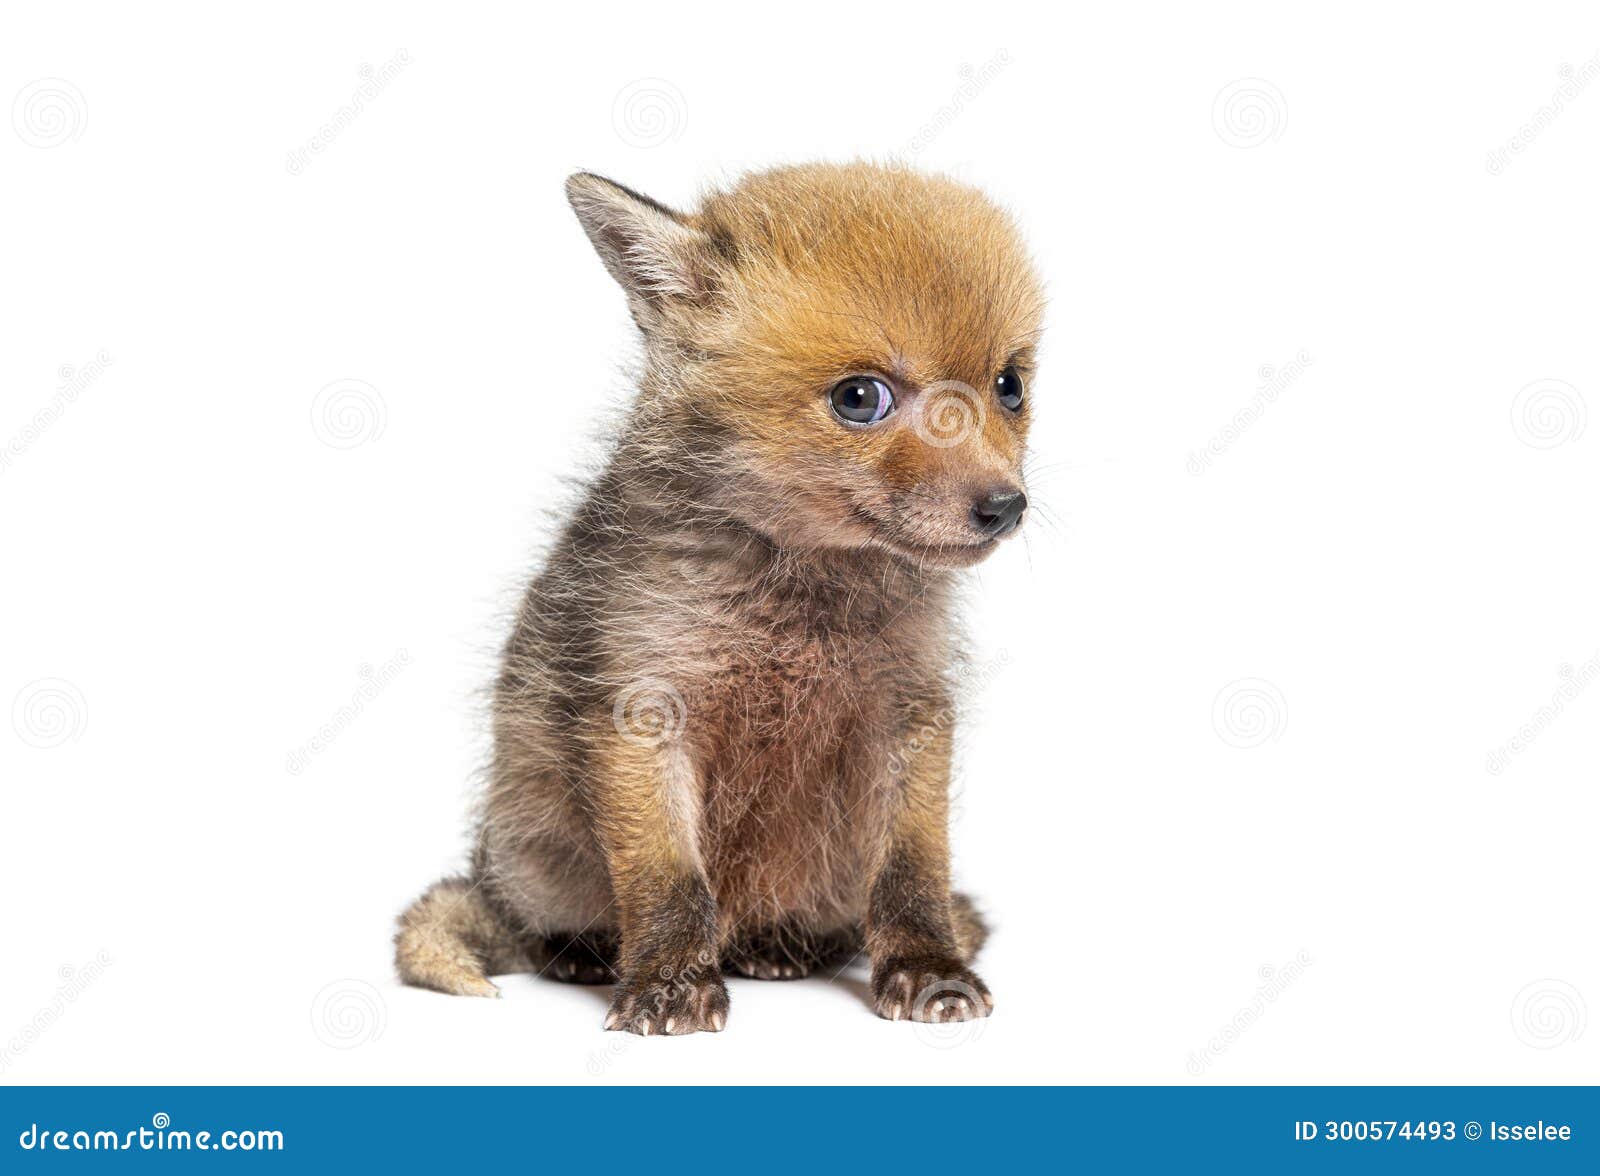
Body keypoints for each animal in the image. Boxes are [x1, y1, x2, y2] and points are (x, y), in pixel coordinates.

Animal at [395, 161, 1043, 1035]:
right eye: (860, 398)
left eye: (1008, 386)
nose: (1006, 507)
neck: (800, 606)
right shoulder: (643, 711)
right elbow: (667, 879)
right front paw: (669, 980)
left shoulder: (909, 710)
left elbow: (913, 873)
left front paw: (927, 967)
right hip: (535, 859)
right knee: (539, 926)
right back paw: (587, 952)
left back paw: (782, 947)